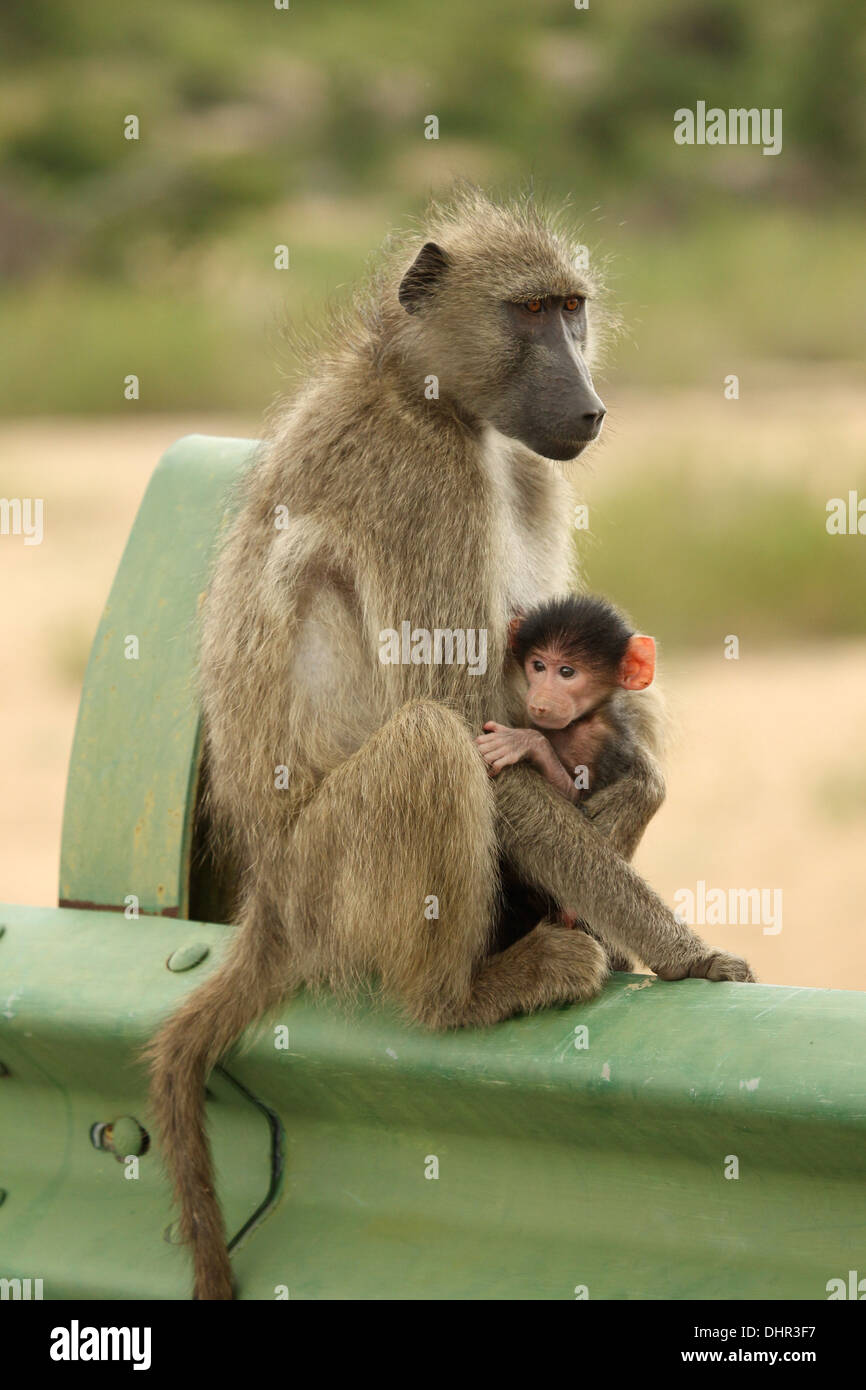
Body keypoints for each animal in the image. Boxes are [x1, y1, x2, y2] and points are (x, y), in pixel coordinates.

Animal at [145, 189, 754, 1301]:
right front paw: (687, 954)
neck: (427, 391)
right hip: (328, 882)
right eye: (528, 312)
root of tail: (266, 913)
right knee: (430, 743)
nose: (589, 408)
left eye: (573, 308)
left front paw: (620, 821)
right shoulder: (416, 480)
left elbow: (578, 698)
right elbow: (463, 713)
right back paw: (470, 994)